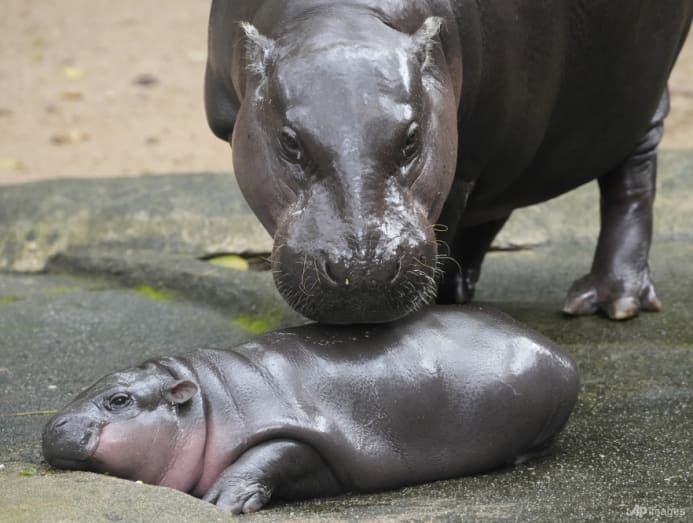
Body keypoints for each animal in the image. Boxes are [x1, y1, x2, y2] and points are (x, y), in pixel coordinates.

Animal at [43, 305, 579, 513]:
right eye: (91, 384)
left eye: (119, 400)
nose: (54, 426)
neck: (208, 402)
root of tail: (560, 351)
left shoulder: (302, 431)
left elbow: (272, 454)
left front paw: (222, 501)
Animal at [205, 0, 693, 324]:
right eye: (289, 143)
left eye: (411, 140)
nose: (364, 269)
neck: (341, 19)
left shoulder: (463, 160)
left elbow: (448, 221)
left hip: (639, 99)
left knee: (631, 182)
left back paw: (611, 301)